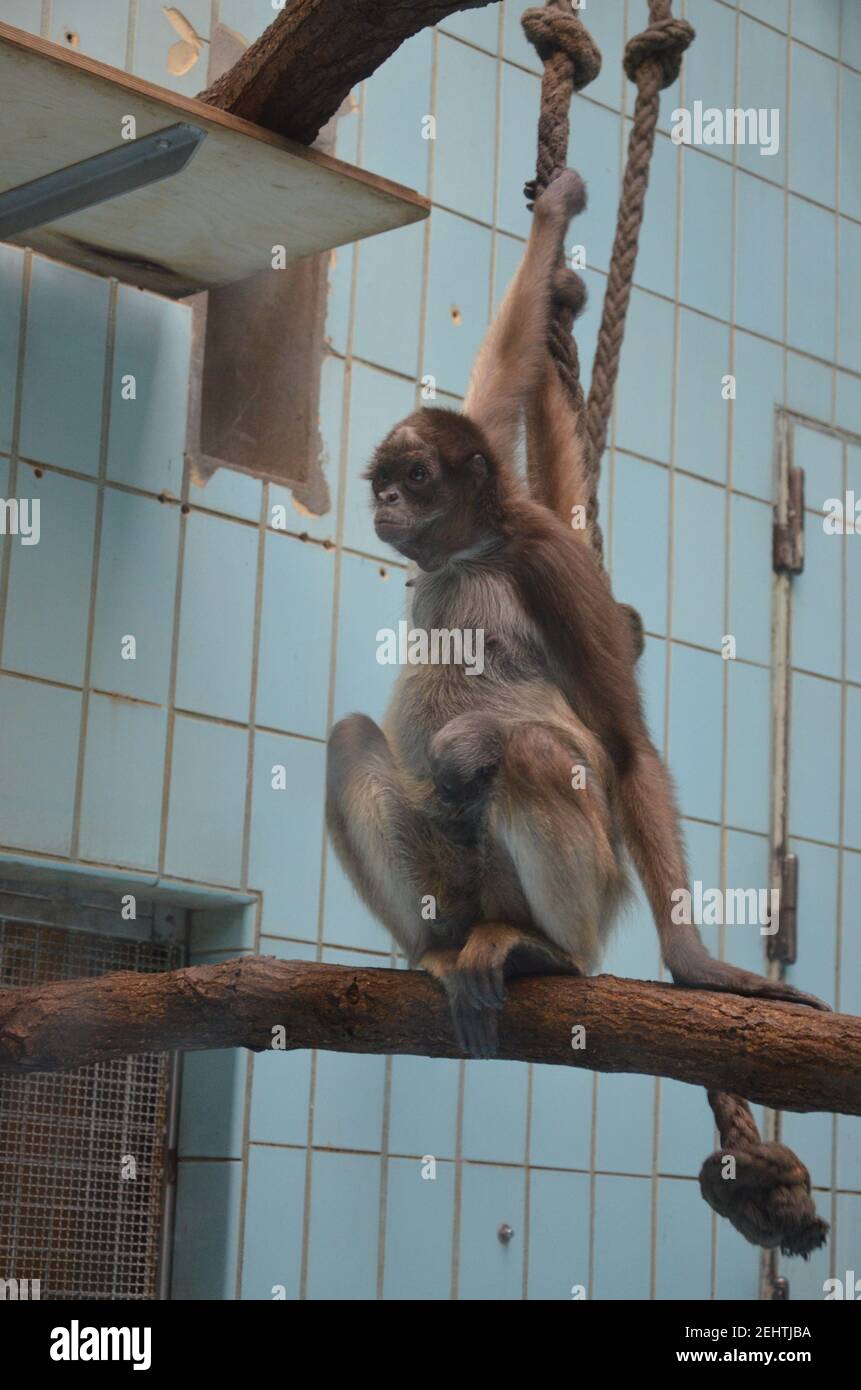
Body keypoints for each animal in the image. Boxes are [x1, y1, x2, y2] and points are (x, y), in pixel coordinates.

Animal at [326, 169, 826, 1058]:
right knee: (355, 737)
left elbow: (623, 749)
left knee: (530, 753)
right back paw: (437, 949)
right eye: (382, 479)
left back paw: (546, 951)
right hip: (448, 874)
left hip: (590, 879)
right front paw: (552, 230)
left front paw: (693, 962)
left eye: (413, 476)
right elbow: (501, 380)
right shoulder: (491, 479)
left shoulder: (550, 557)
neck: (475, 549)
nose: (385, 503)